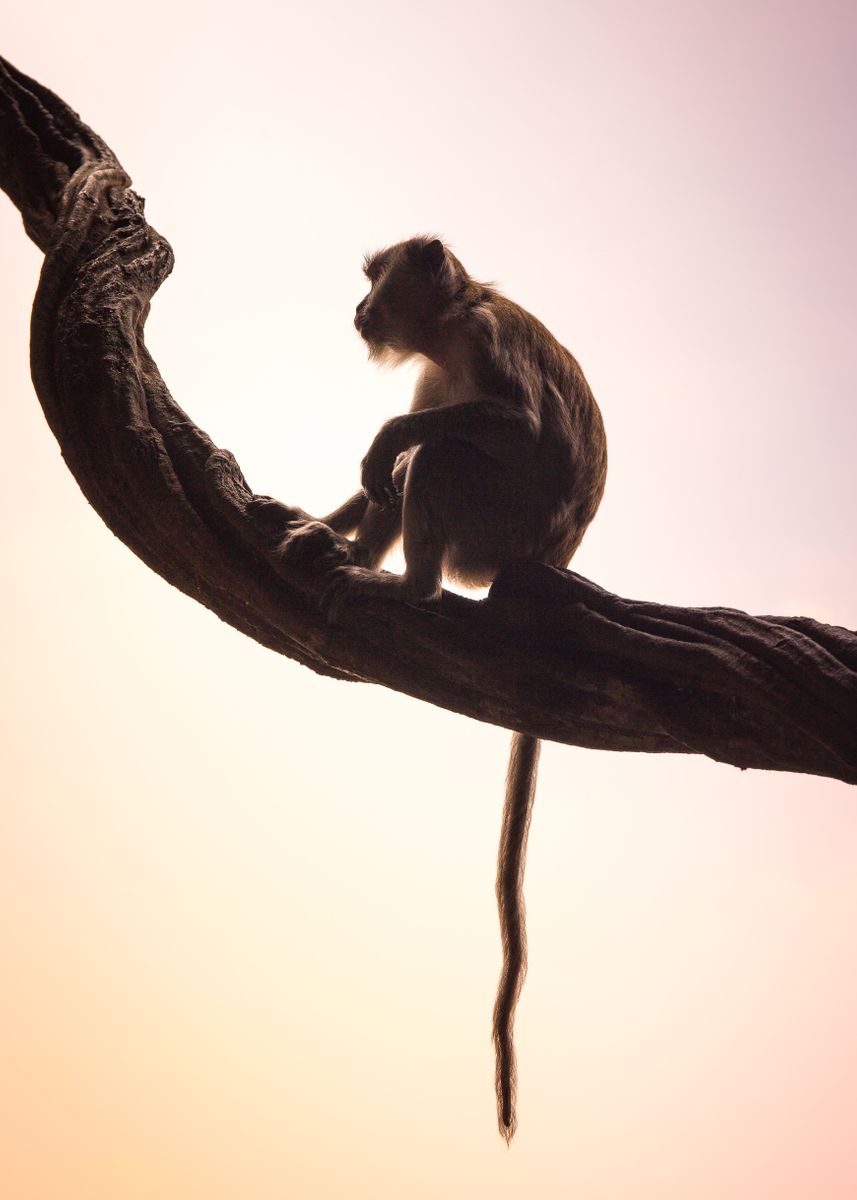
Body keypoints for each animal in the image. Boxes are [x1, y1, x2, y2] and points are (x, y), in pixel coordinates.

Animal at [283, 236, 607, 1141]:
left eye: (374, 280)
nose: (358, 310)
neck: (450, 328)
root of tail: (550, 561)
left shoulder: (482, 341)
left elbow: (508, 426)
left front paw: (383, 445)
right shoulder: (433, 367)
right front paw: (325, 523)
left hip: (493, 535)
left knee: (438, 459)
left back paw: (407, 585)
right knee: (413, 473)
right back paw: (352, 554)